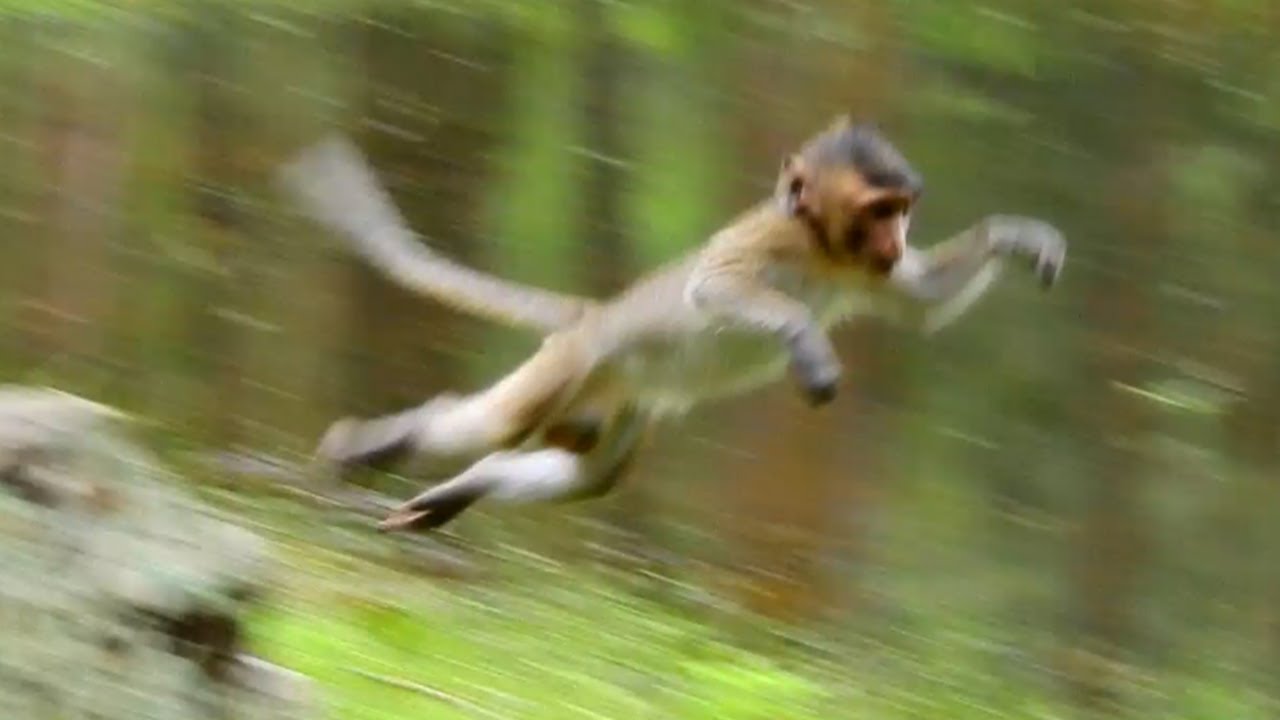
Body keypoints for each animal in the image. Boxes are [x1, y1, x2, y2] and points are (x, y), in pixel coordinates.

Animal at [278, 115, 1066, 533]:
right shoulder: (772, 241)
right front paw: (806, 345)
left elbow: (919, 303)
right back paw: (377, 442)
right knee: (493, 424)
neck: (820, 245)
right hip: (572, 366)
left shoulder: (860, 270)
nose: (895, 238)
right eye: (879, 210)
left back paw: (465, 488)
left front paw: (1016, 235)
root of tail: (591, 316)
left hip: (618, 403)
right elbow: (712, 288)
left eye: (901, 211)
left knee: (586, 475)